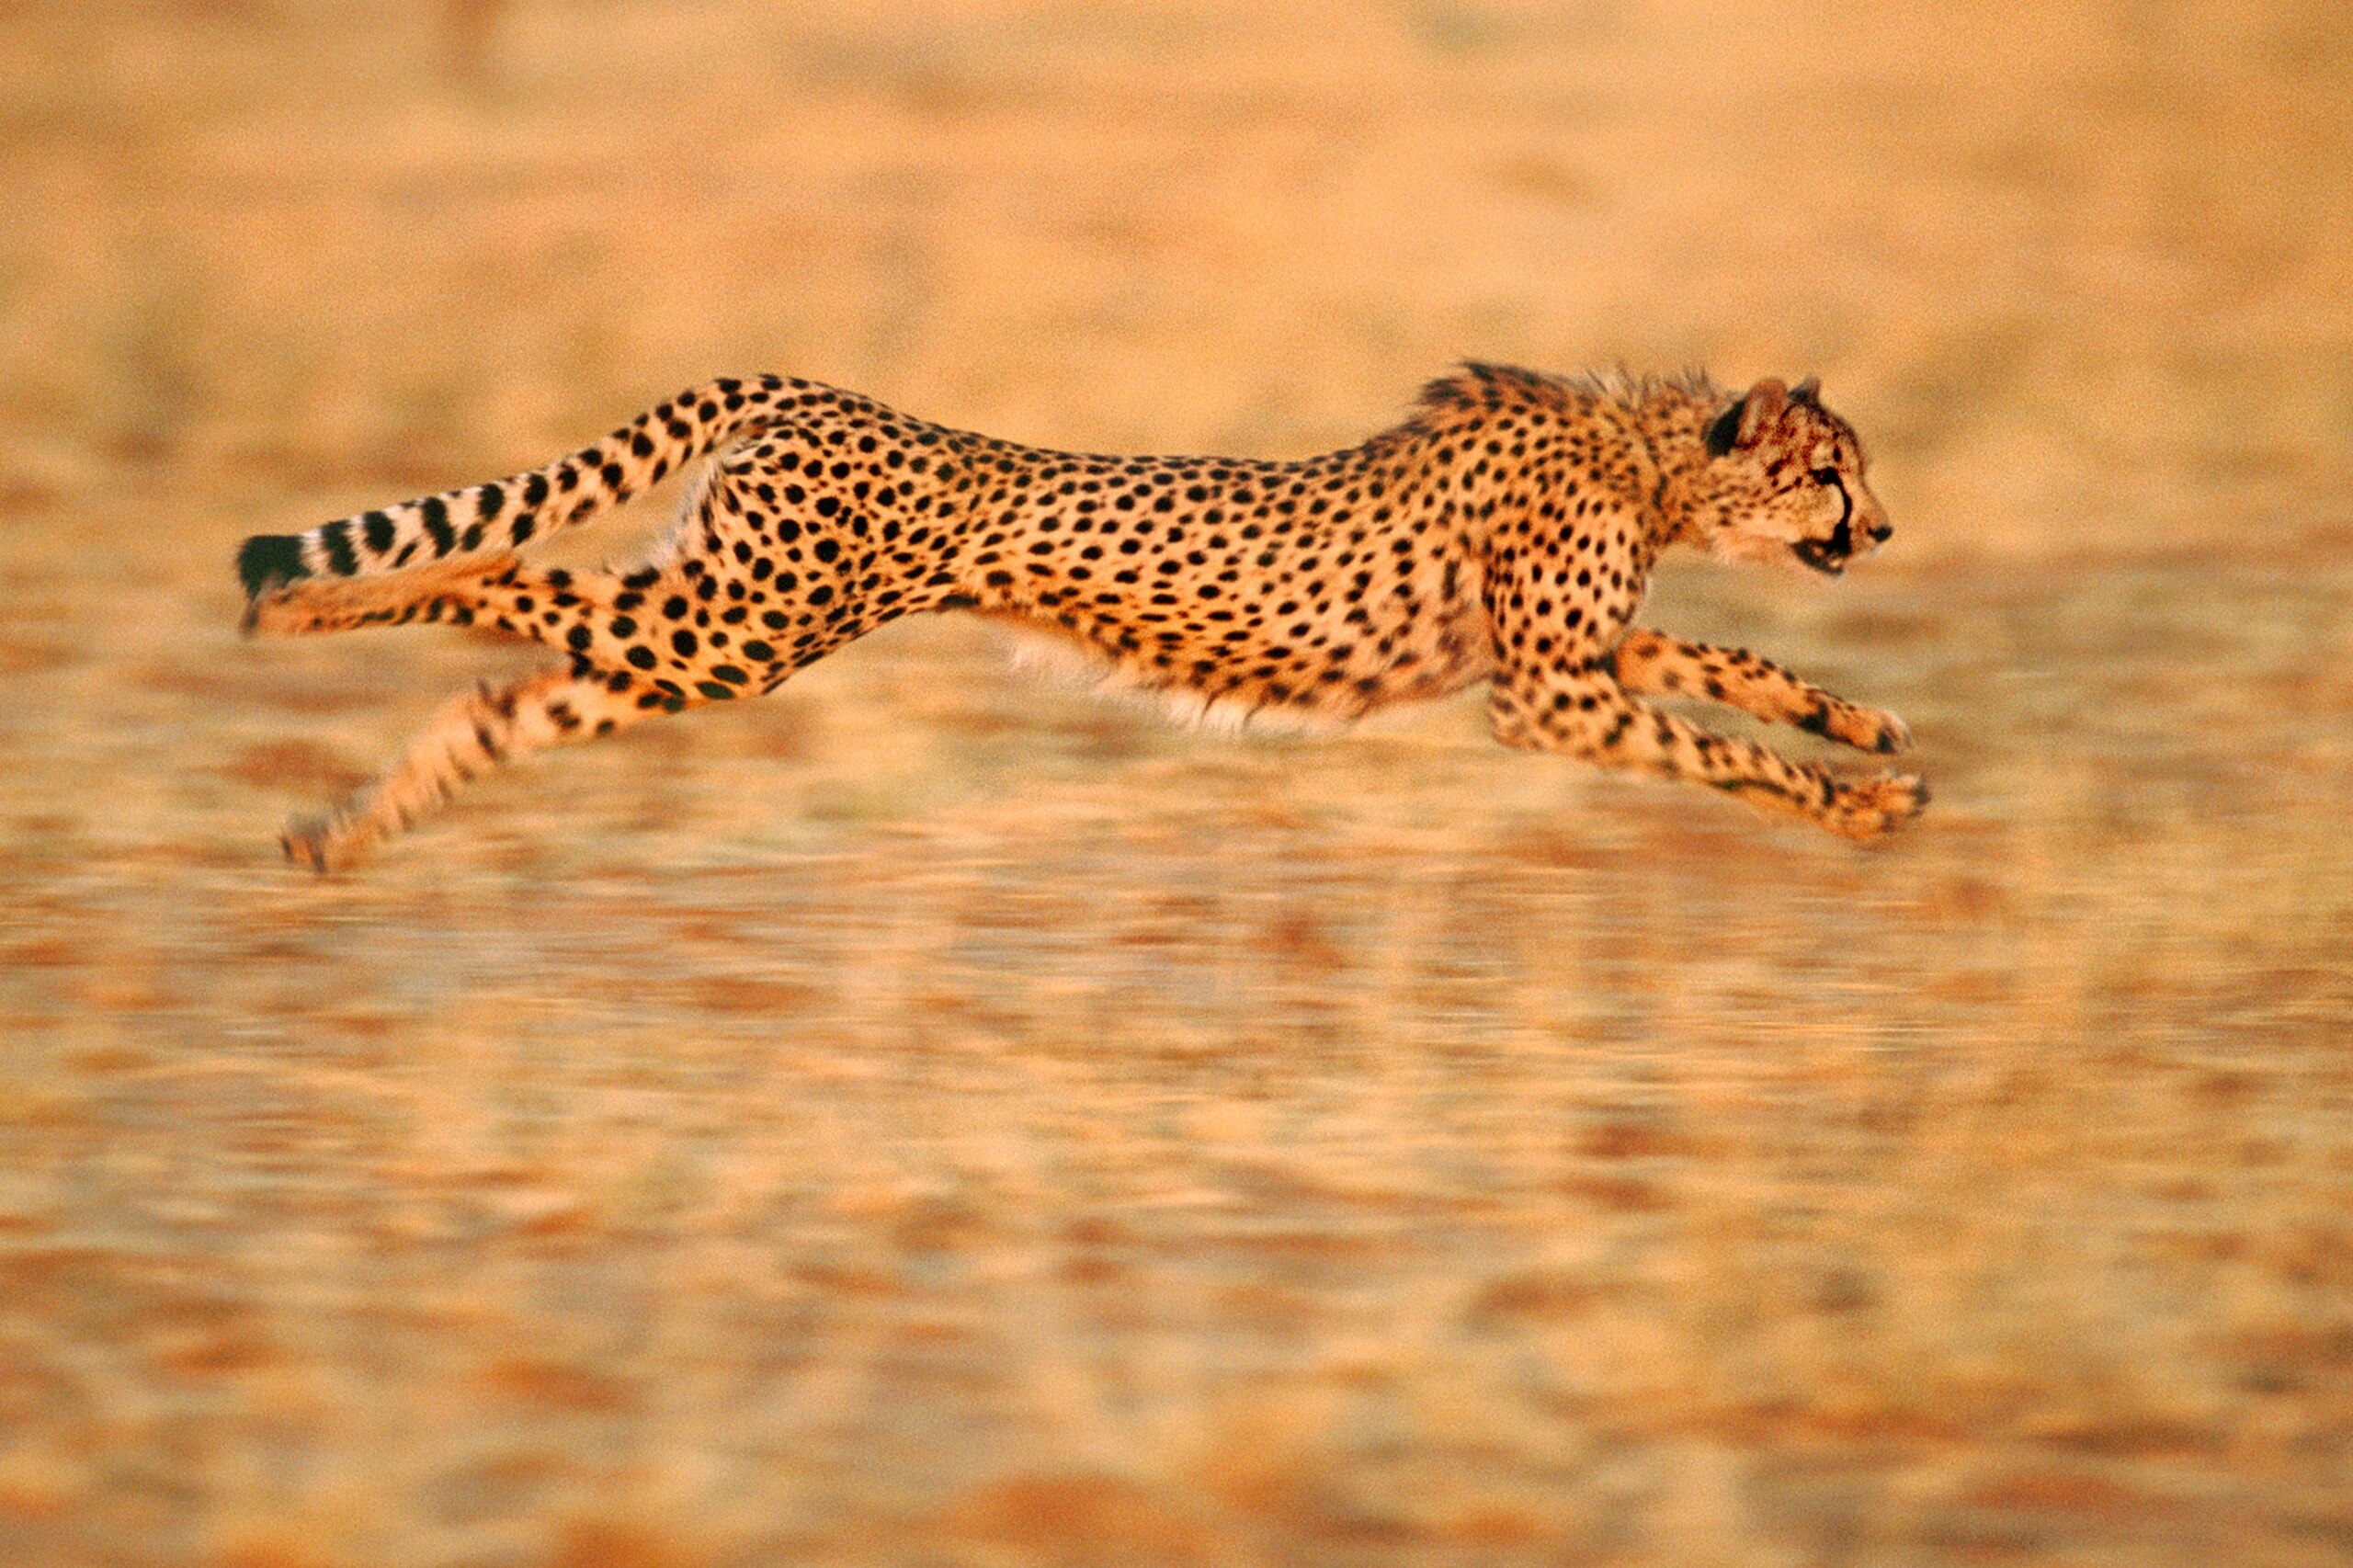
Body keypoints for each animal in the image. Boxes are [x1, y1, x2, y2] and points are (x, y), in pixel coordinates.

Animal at [236, 364, 1925, 872]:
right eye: (1831, 470)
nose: (1887, 528)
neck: (1654, 451)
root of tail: (813, 388)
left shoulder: (1578, 655)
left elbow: (1734, 665)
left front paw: (1869, 733)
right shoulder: (1547, 691)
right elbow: (1719, 747)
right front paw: (1850, 804)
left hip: (703, 624)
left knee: (501, 694)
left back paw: (333, 832)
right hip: (744, 624)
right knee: (488, 579)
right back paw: (304, 610)